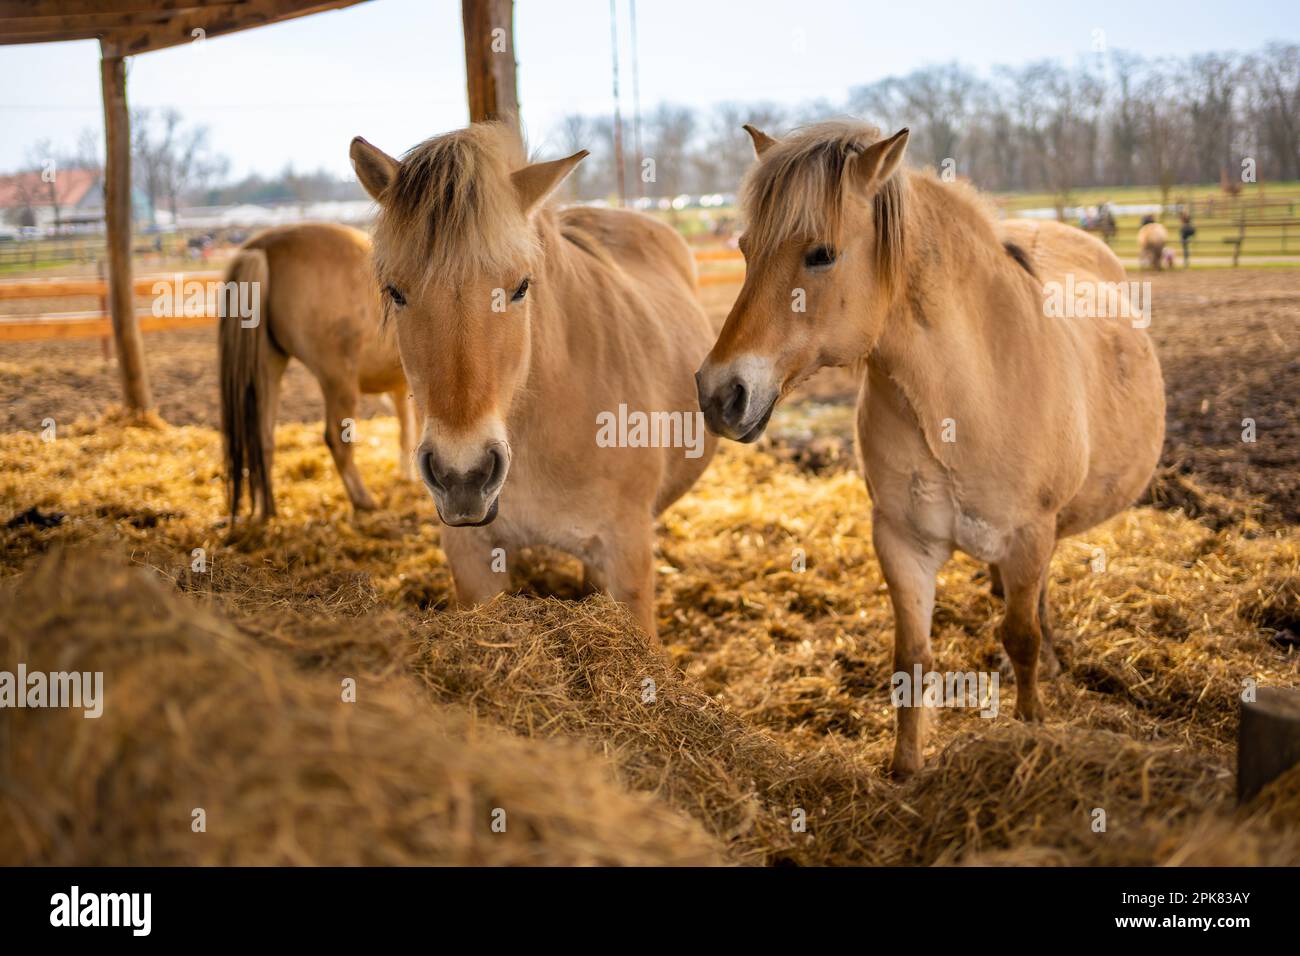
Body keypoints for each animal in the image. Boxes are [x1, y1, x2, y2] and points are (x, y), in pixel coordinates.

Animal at [218, 222, 415, 521]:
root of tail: (263, 249)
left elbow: (407, 425)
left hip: (267, 369)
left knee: (263, 439)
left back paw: (266, 510)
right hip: (338, 379)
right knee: (336, 439)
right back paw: (362, 500)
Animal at [696, 121, 1165, 775]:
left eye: (821, 254)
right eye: (743, 249)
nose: (719, 393)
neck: (964, 397)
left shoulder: (1029, 536)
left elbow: (1020, 638)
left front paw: (1032, 729)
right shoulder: (902, 542)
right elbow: (912, 659)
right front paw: (906, 770)